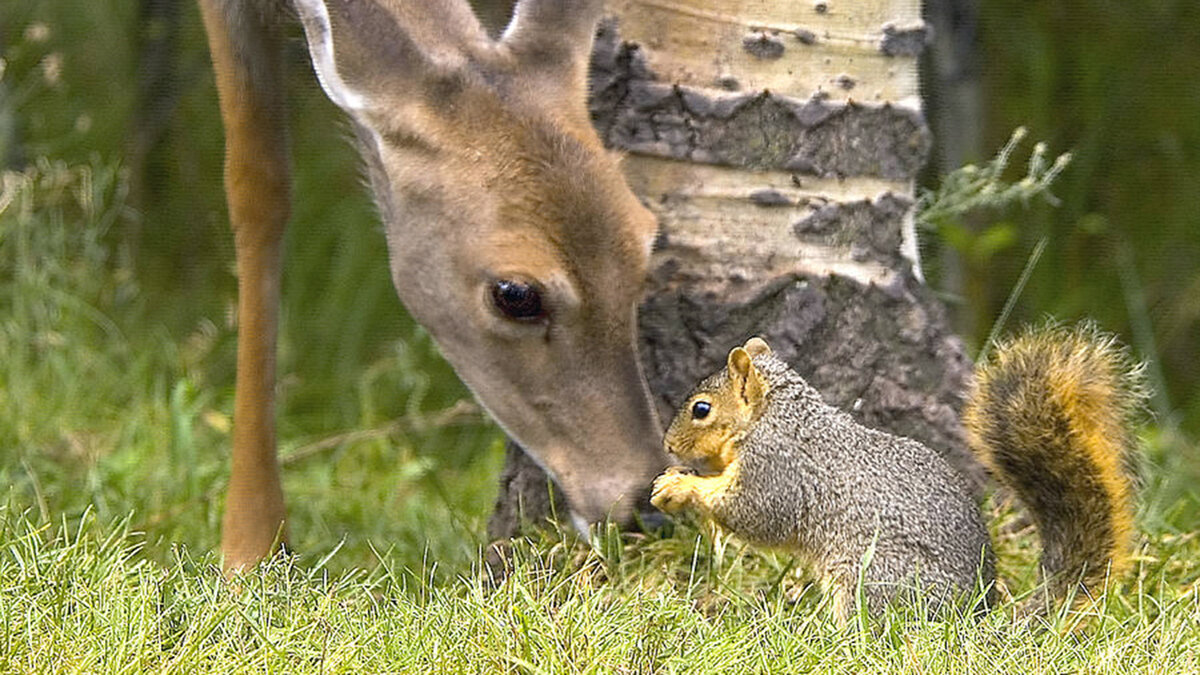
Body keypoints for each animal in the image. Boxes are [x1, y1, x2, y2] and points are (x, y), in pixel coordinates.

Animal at [652, 324, 1147, 619]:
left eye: (701, 409)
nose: (668, 446)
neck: (774, 419)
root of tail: (975, 621)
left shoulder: (778, 468)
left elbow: (754, 515)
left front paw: (682, 487)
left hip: (870, 576)